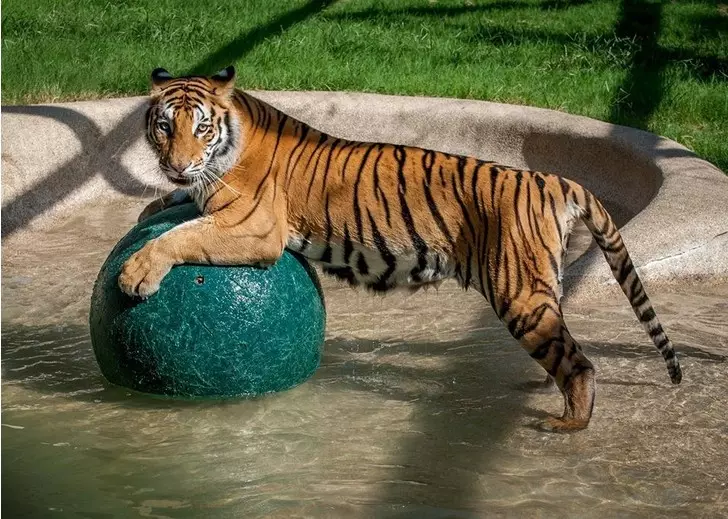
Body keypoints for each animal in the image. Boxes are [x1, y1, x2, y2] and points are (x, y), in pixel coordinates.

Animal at [119, 67, 684, 432]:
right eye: (164, 125)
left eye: (201, 126)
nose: (175, 164)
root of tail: (549, 178)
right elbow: (170, 206)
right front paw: (153, 207)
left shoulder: (254, 228)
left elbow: (182, 234)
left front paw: (135, 272)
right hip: (542, 289)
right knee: (563, 352)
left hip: (520, 295)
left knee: (580, 364)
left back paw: (567, 426)